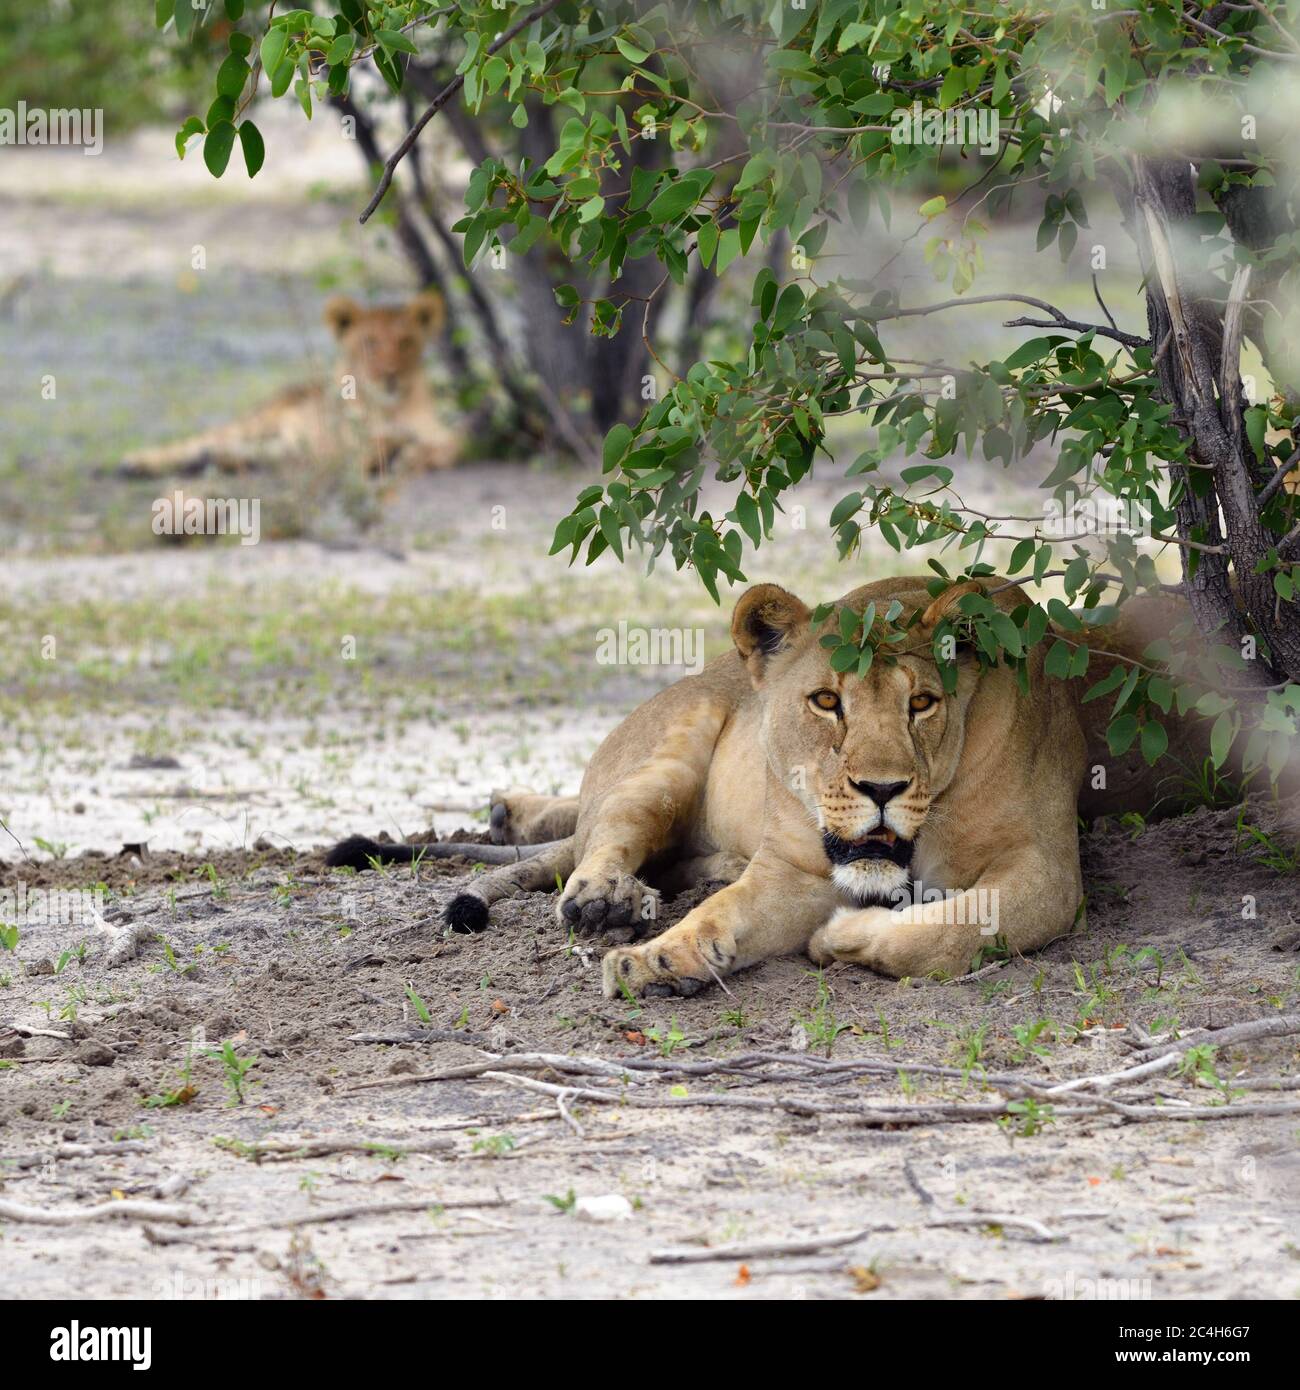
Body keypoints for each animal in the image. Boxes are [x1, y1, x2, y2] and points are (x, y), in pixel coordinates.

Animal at [118, 292, 459, 481]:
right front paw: (391, 452)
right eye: (369, 343)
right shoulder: (339, 438)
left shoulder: (439, 432)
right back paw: (136, 464)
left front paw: (411, 455)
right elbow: (370, 442)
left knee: (252, 452)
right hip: (256, 422)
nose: (389, 374)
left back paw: (219, 461)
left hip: (279, 445)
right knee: (195, 443)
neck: (391, 407)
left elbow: (451, 444)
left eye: (406, 342)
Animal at [327, 575, 1207, 994]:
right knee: (600, 835)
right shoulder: (796, 868)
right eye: (826, 701)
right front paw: (655, 957)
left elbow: (957, 926)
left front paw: (841, 938)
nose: (881, 787)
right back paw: (606, 897)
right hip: (671, 750)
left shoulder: (1047, 870)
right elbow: (728, 913)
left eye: (921, 703)